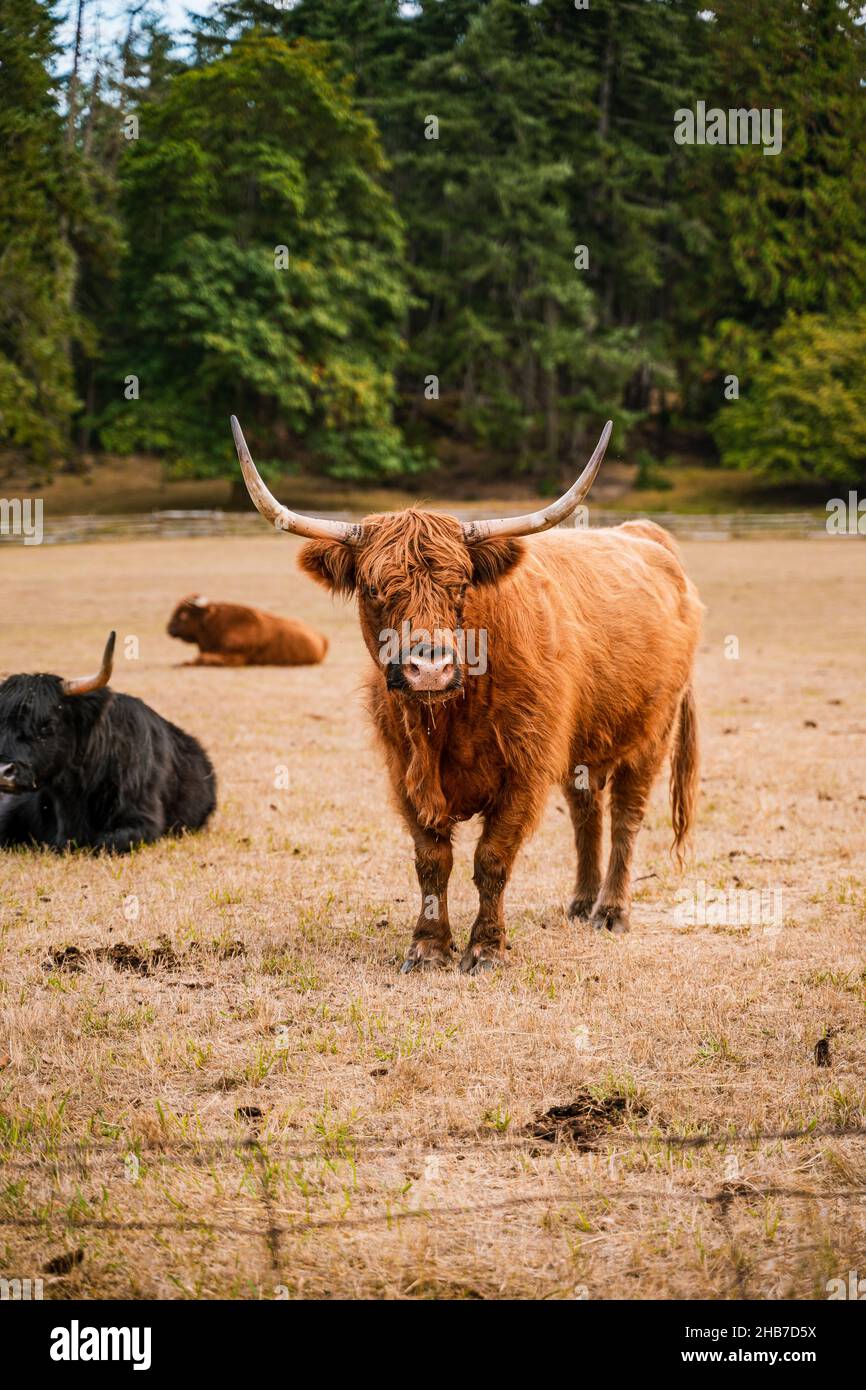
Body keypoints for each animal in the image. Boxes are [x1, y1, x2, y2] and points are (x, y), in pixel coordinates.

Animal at [231, 415, 703, 974]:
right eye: (373, 589)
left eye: (459, 587)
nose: (429, 667)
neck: (450, 719)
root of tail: (645, 536)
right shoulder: (405, 771)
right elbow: (432, 862)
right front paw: (428, 946)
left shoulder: (526, 769)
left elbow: (492, 859)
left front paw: (487, 947)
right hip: (581, 749)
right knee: (586, 815)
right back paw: (581, 903)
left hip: (651, 736)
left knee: (626, 818)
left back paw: (611, 911)